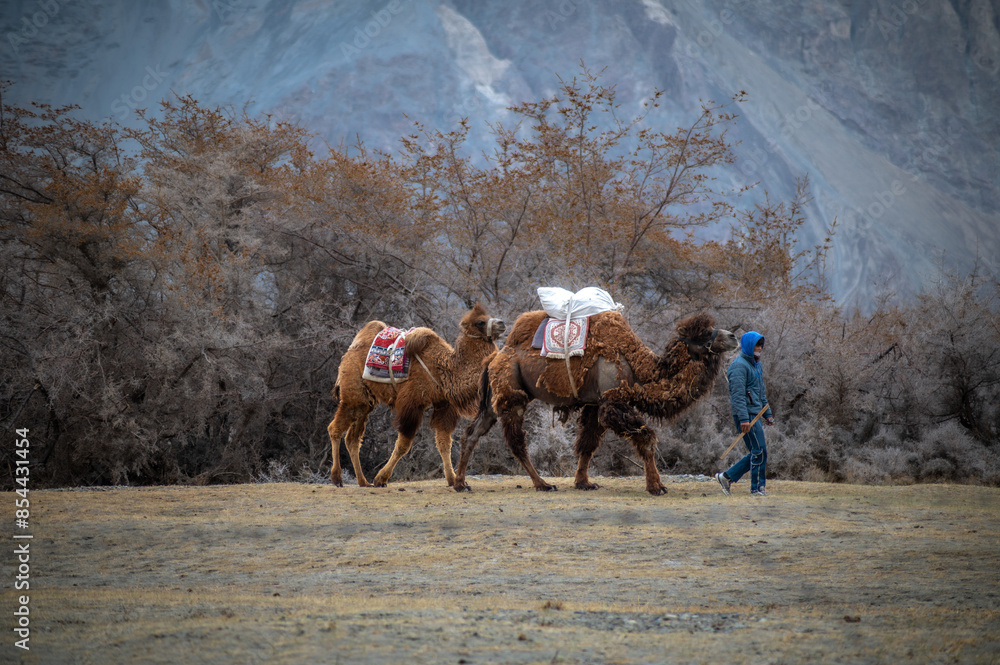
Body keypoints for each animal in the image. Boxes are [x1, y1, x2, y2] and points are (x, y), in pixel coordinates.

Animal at [328, 304, 505, 488]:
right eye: (480, 322)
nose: (502, 323)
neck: (445, 369)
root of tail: (349, 351)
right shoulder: (412, 403)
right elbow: (403, 445)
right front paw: (380, 479)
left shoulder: (443, 404)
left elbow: (444, 442)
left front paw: (452, 479)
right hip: (353, 392)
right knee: (334, 428)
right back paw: (337, 478)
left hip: (366, 402)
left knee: (353, 439)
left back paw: (363, 481)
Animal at [453, 310, 738, 495]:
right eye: (704, 334)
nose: (733, 336)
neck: (640, 368)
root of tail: (493, 359)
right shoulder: (612, 401)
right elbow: (646, 436)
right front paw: (656, 486)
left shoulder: (594, 403)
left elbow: (587, 443)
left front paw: (584, 483)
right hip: (512, 392)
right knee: (516, 441)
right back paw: (543, 484)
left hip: (493, 398)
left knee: (471, 433)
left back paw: (461, 484)